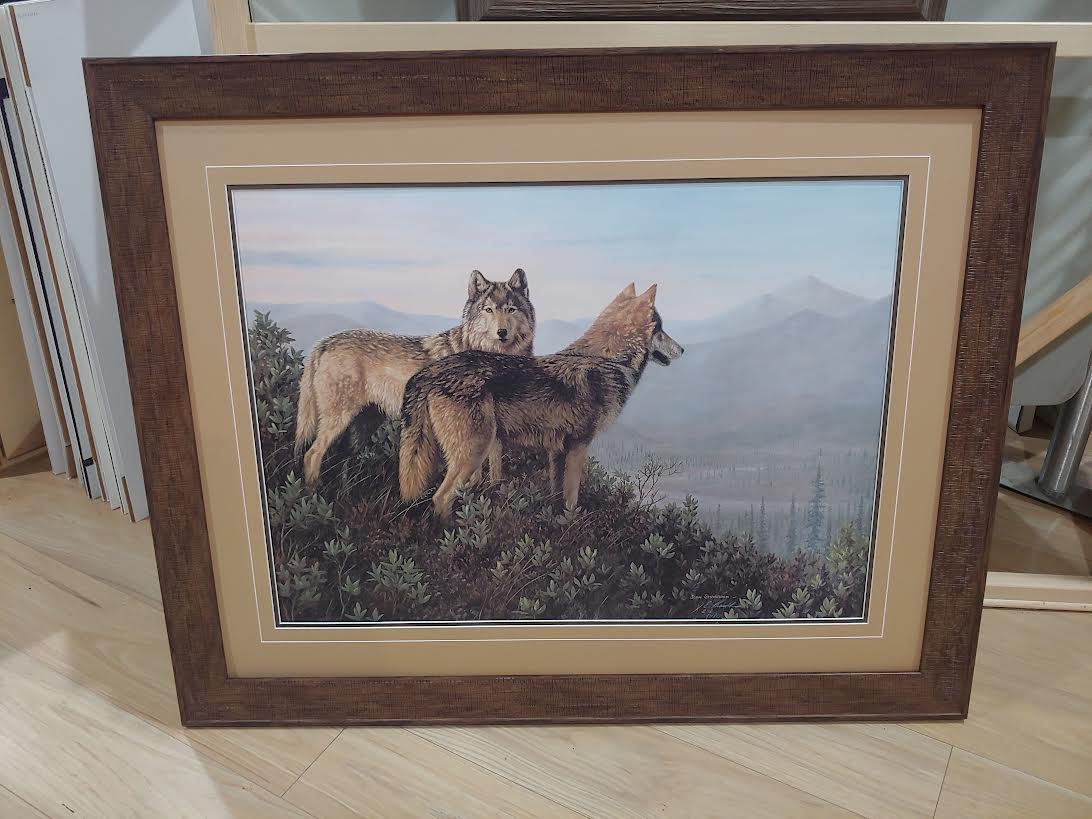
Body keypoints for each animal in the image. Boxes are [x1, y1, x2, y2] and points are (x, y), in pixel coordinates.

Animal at [294, 268, 534, 484]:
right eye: (488, 310)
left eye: (511, 309)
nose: (501, 332)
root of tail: (324, 343)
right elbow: (473, 473)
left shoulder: (494, 430)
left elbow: (495, 469)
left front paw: (491, 493)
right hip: (340, 419)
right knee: (312, 454)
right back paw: (313, 493)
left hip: (361, 427)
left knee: (339, 458)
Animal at [399, 283, 683, 520]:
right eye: (661, 330)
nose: (682, 349)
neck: (608, 361)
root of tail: (430, 371)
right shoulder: (579, 447)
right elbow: (571, 500)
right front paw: (571, 527)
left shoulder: (557, 452)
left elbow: (557, 494)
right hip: (474, 452)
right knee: (441, 497)